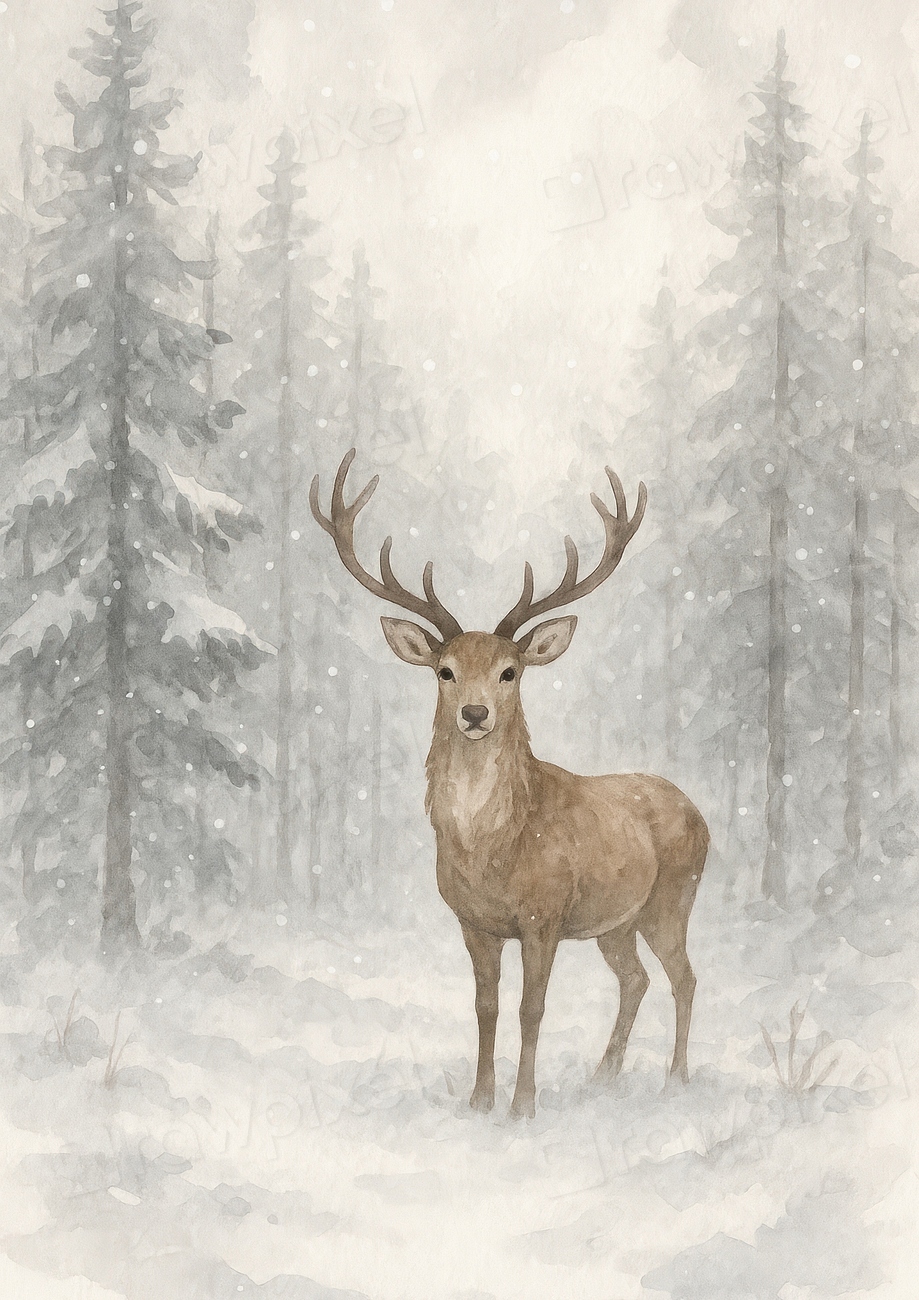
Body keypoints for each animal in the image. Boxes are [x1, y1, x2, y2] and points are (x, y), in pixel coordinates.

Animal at [310, 449, 709, 1119]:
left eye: (509, 671)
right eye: (444, 670)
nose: (475, 714)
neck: (492, 853)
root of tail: (701, 814)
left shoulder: (543, 915)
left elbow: (532, 1008)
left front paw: (523, 1107)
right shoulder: (474, 922)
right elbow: (486, 1007)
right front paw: (479, 1101)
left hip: (671, 899)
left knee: (684, 976)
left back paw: (676, 1080)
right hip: (615, 921)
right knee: (636, 979)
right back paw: (604, 1078)